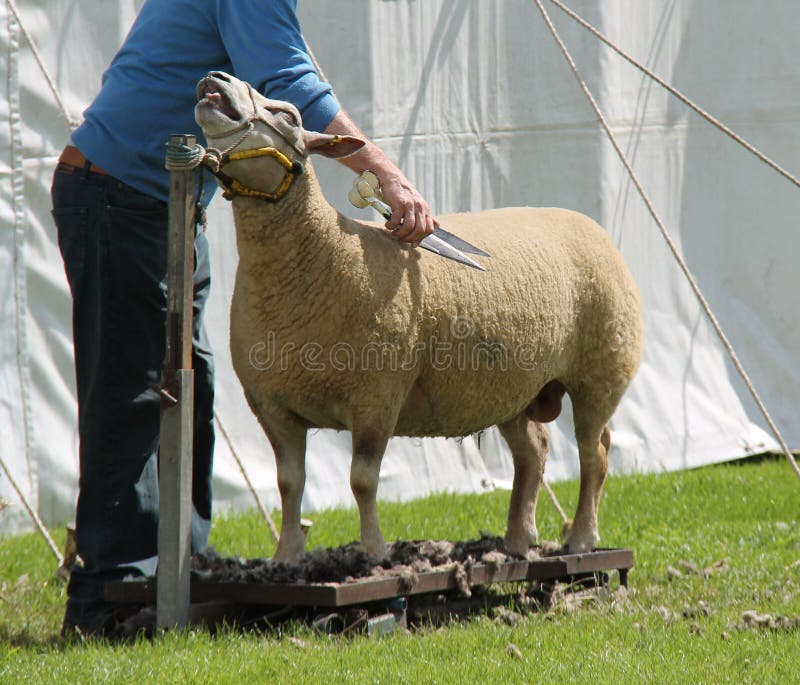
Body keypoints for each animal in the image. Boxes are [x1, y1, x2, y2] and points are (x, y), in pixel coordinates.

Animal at [195, 71, 643, 563]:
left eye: (289, 116)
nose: (217, 78)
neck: (321, 255)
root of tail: (589, 223)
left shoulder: (377, 394)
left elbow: (362, 480)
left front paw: (374, 552)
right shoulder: (271, 405)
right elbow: (289, 483)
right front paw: (287, 557)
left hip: (601, 372)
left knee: (594, 453)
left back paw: (580, 538)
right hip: (514, 387)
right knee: (534, 451)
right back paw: (517, 541)